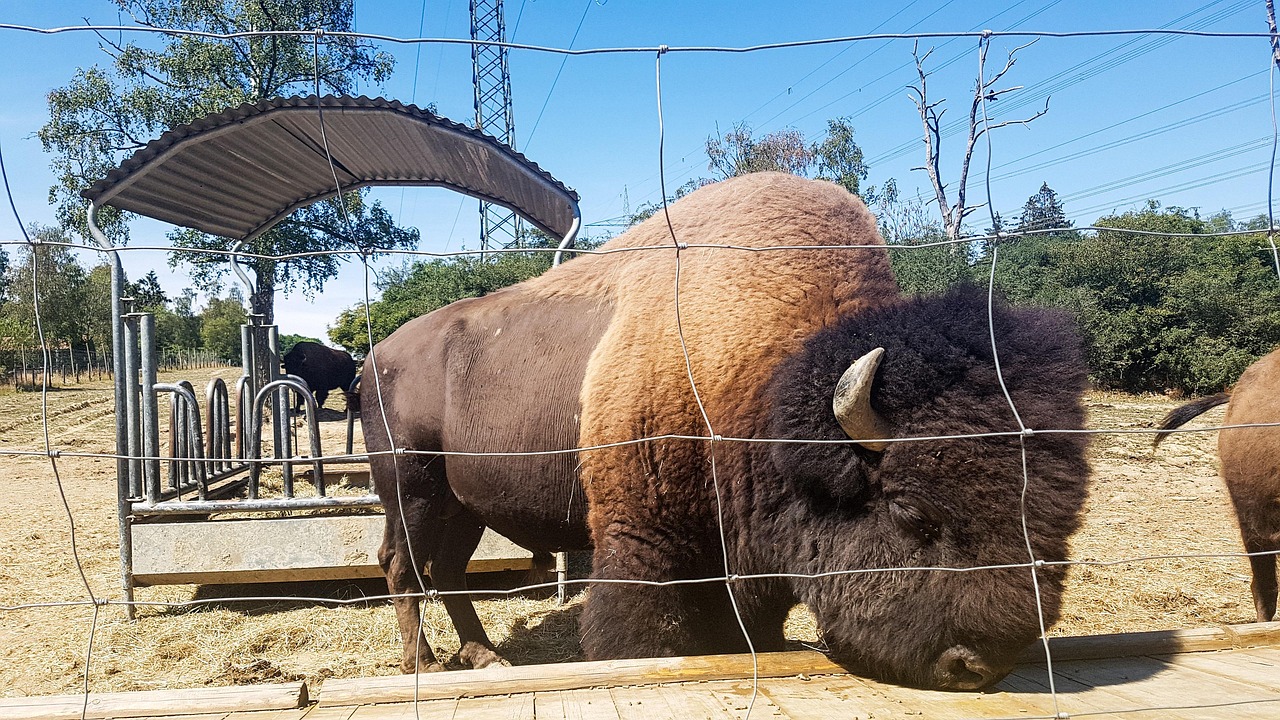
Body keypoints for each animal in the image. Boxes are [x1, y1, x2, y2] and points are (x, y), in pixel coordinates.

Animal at [362, 173, 1090, 690]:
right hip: (412, 490)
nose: (977, 666)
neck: (755, 375)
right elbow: (636, 637)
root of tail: (376, 357)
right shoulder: (641, 544)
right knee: (402, 566)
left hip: (461, 504)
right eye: (911, 512)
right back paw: (423, 663)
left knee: (446, 570)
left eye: (1066, 520)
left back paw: (485, 656)